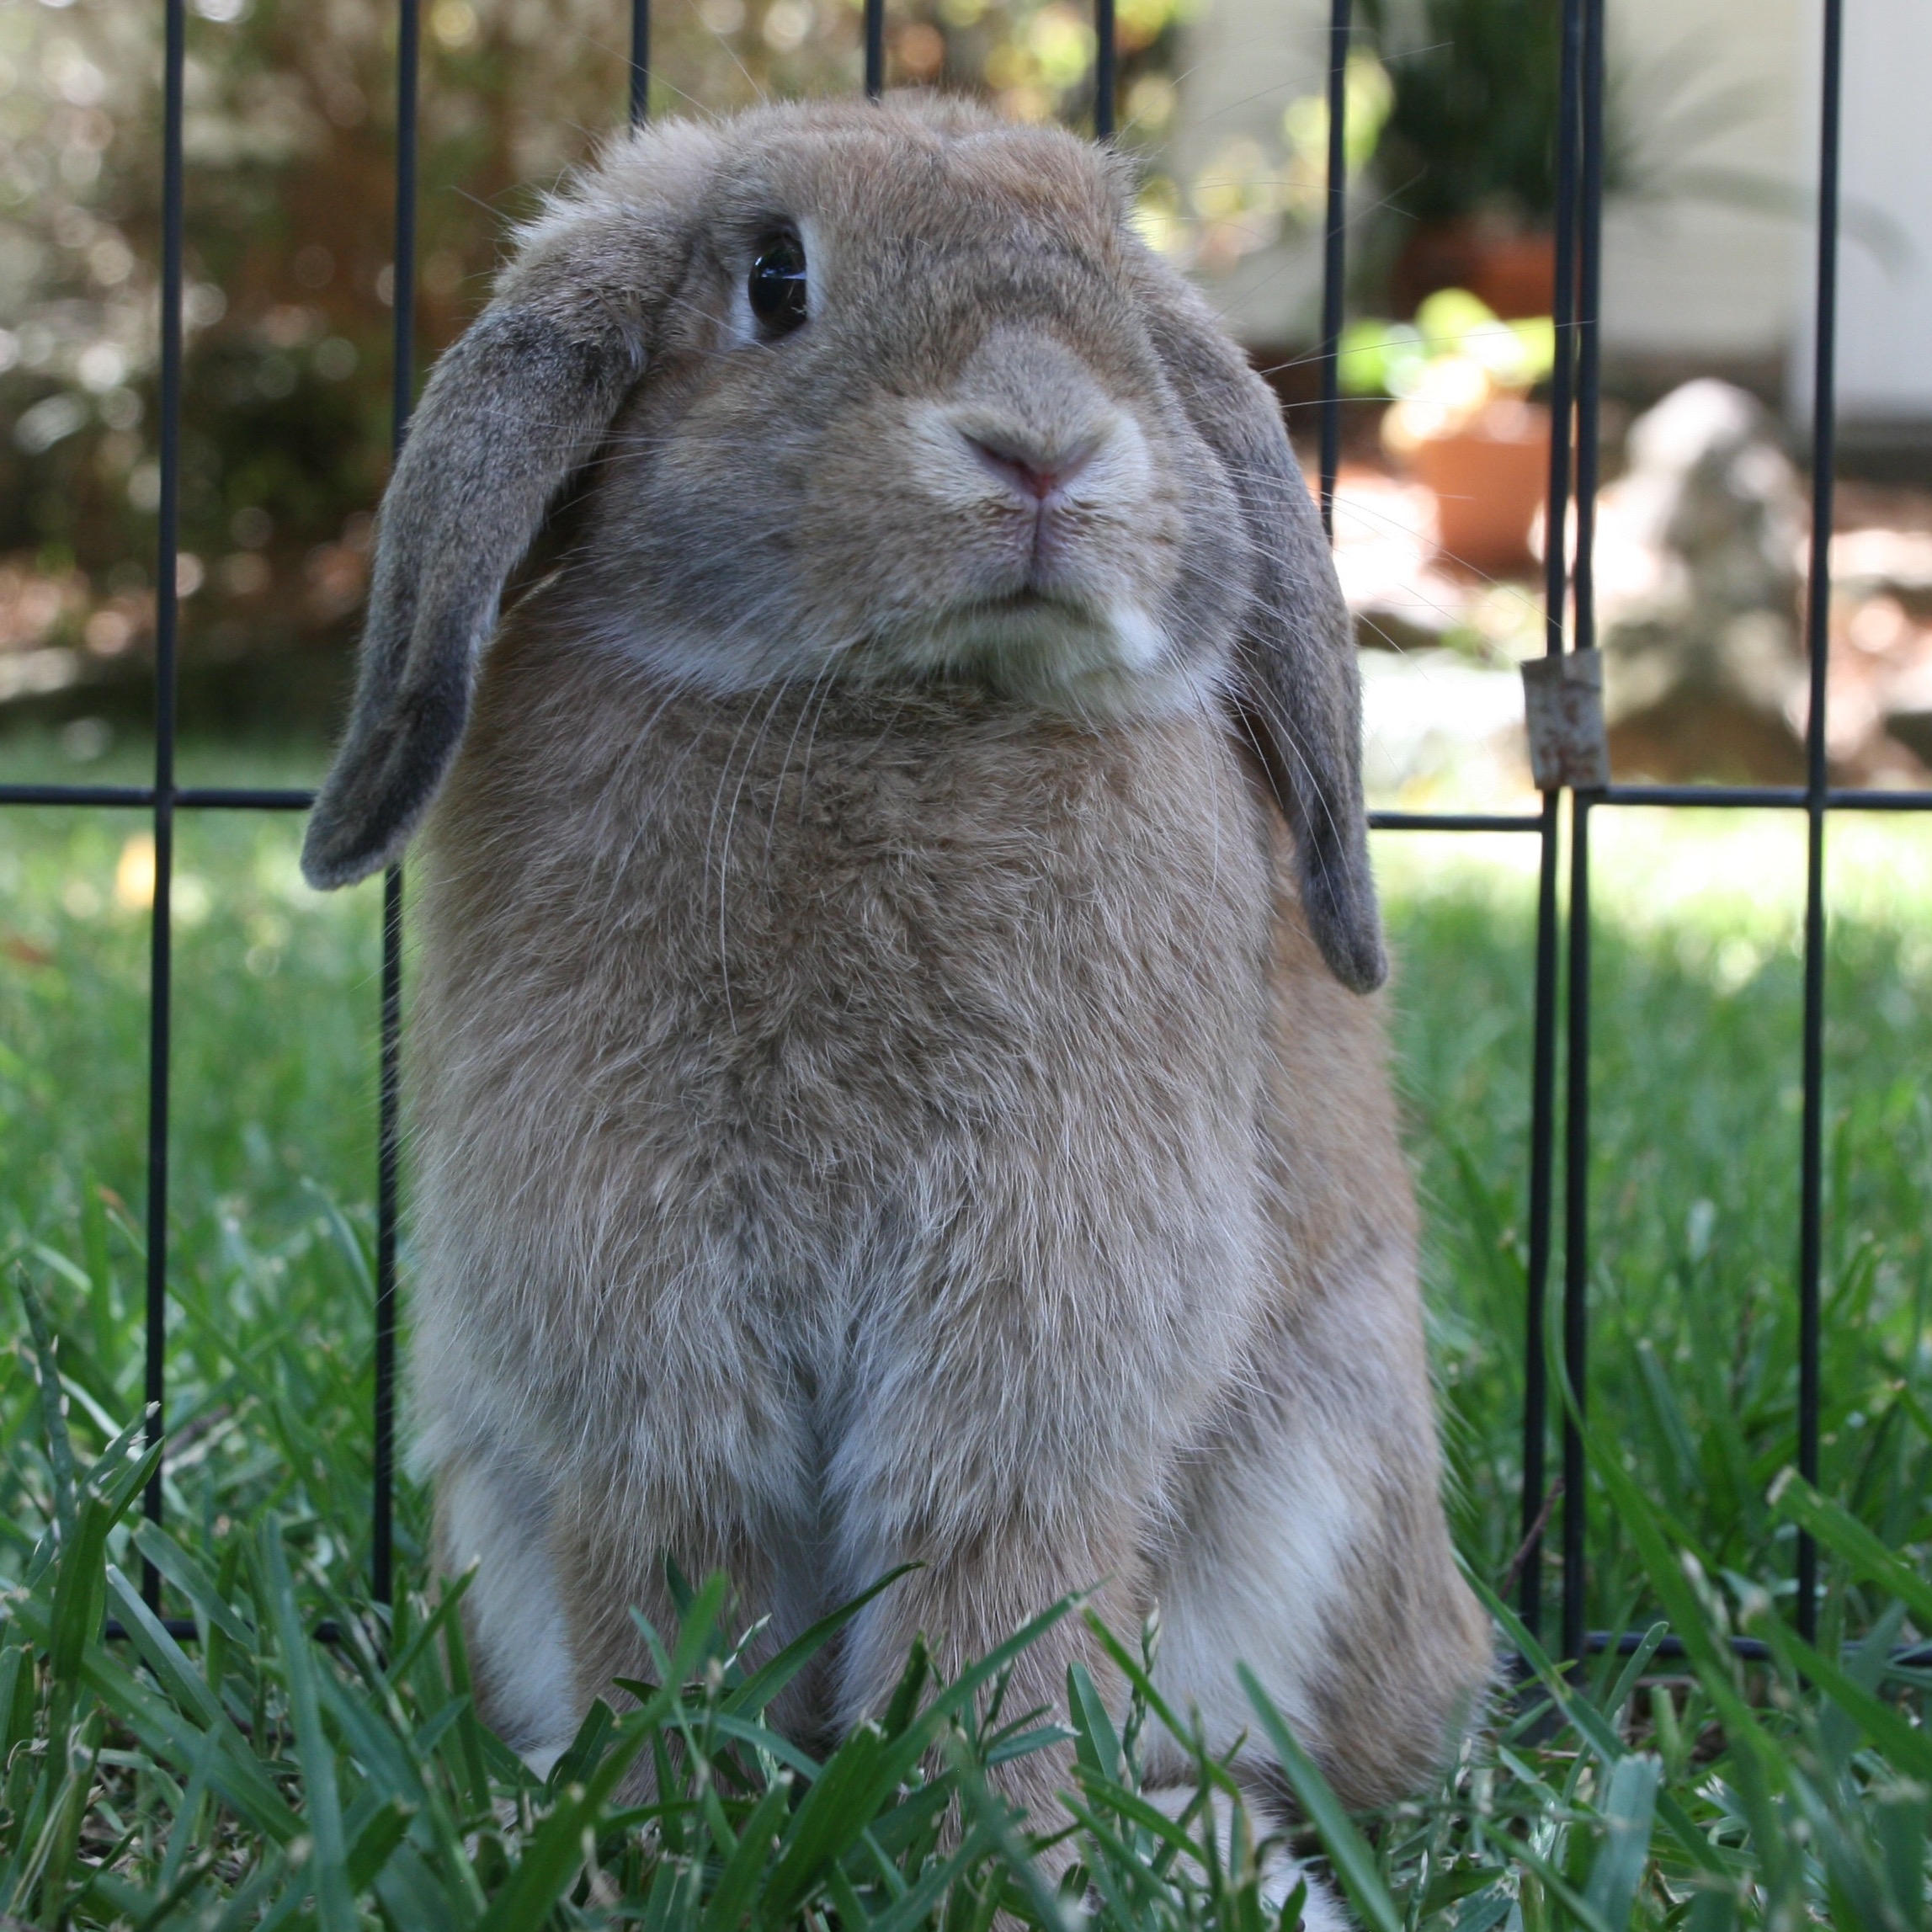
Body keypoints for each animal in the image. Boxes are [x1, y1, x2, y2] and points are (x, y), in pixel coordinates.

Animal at [299, 90, 1493, 1892]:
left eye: (1111, 282)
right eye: (775, 279)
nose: (1043, 447)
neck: (904, 704)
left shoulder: (1040, 1311)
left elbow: (995, 1580)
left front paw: (994, 1846)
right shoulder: (630, 1314)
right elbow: (673, 1567)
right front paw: (652, 1828)